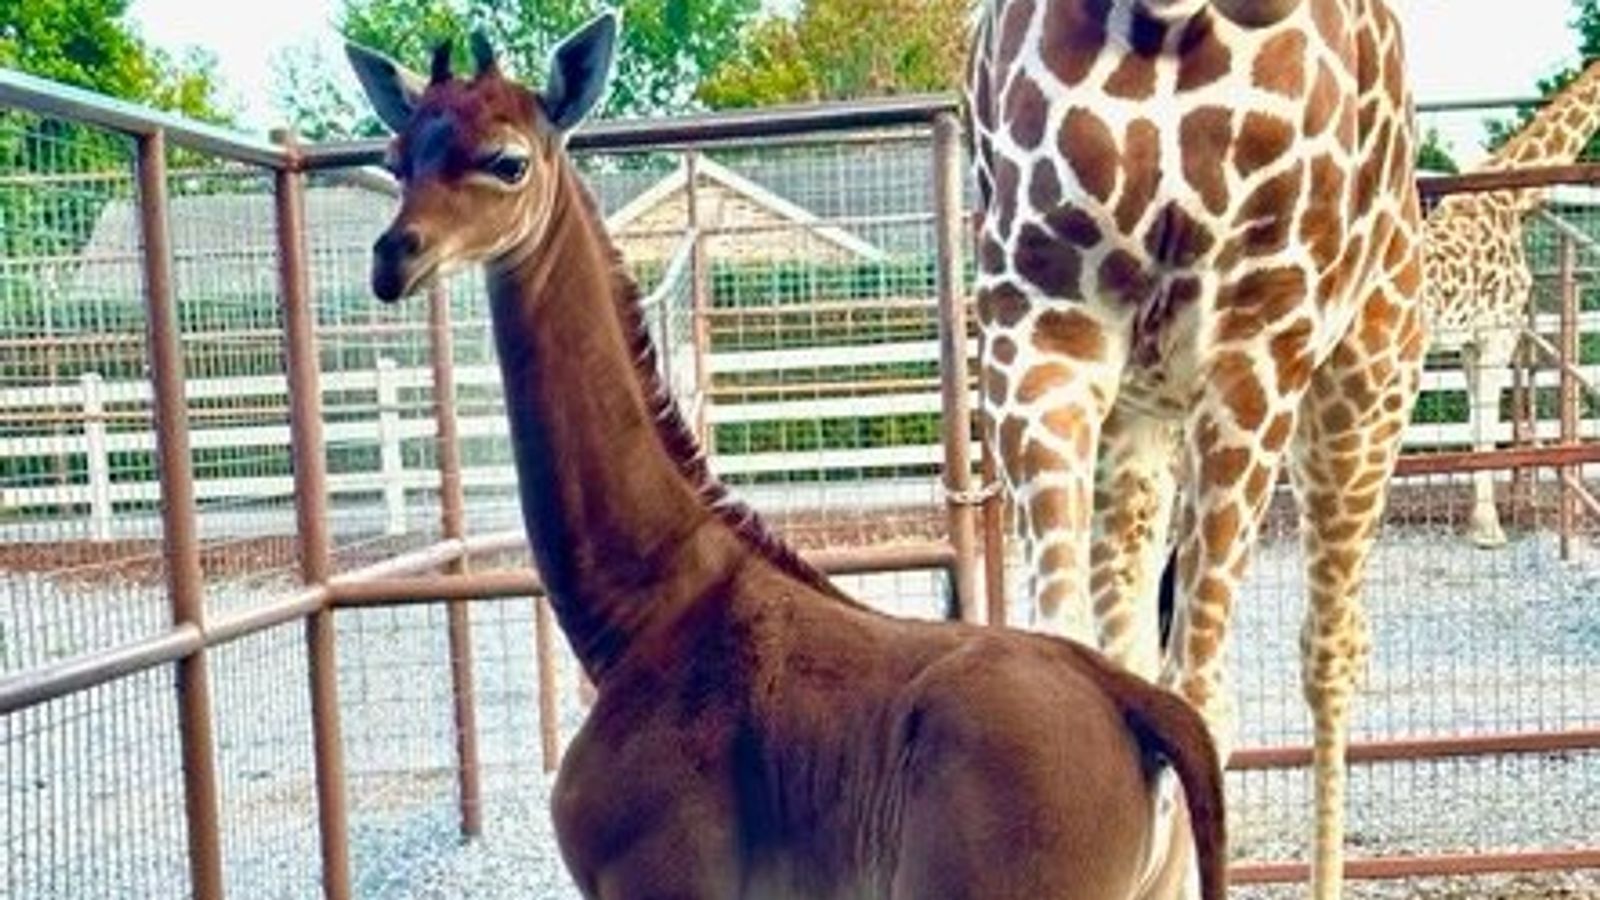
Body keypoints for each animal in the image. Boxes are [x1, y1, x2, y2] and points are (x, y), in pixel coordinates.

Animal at [347, 15, 1228, 900]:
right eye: (395, 158)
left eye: (508, 161)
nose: (393, 257)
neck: (643, 612)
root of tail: (1136, 706)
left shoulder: (659, 882)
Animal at [965, 1, 1426, 897]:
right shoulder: (1040, 324)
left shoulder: (1257, 338)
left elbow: (1204, 707)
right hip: (1140, 420)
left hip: (1368, 381)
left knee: (1330, 650)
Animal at [1423, 57, 1600, 548]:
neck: (1510, 195)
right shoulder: (1498, 332)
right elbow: (1486, 423)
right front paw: (1488, 529)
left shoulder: (1471, 340)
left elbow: (1476, 421)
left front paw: (1477, 523)